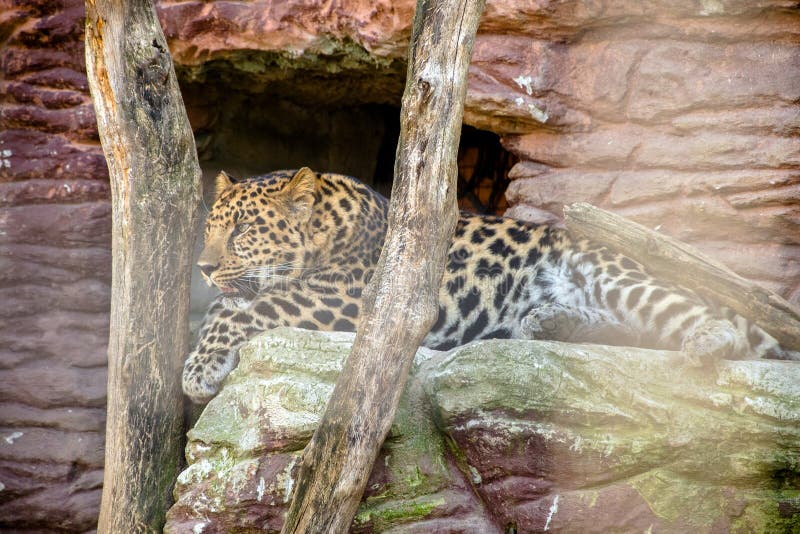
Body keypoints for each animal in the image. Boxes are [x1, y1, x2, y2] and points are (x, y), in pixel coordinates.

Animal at [183, 167, 798, 403]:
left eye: (242, 231)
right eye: (209, 229)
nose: (204, 267)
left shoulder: (355, 298)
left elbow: (241, 308)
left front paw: (197, 369)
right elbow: (235, 304)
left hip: (619, 276)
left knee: (709, 331)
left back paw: (705, 341)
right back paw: (549, 321)